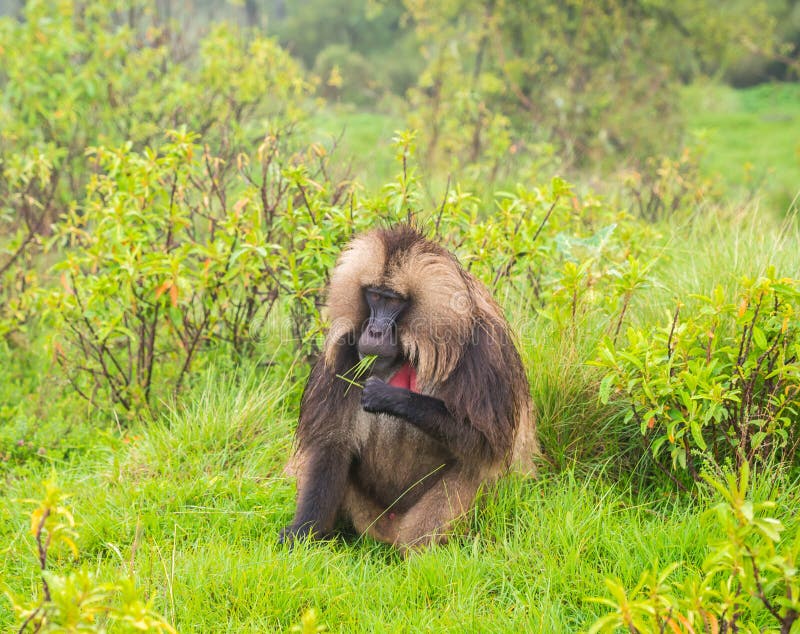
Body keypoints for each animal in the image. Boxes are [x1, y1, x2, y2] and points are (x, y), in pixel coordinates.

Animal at [280, 224, 537, 552]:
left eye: (393, 301)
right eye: (374, 295)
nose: (374, 331)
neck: (408, 353)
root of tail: (388, 532)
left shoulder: (484, 354)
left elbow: (488, 442)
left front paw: (392, 398)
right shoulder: (343, 354)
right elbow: (331, 443)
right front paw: (302, 533)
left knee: (470, 470)